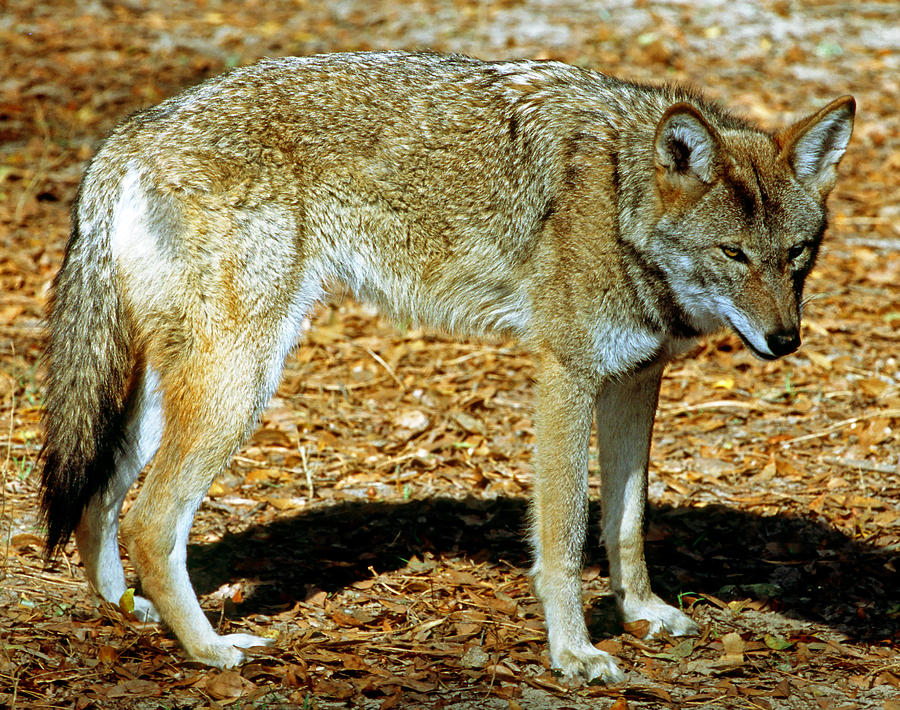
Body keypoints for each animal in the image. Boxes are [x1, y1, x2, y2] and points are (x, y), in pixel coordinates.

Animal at [38, 51, 854, 683]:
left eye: (796, 254)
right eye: (733, 254)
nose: (785, 340)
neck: (618, 197)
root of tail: (131, 132)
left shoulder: (634, 379)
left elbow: (626, 520)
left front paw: (644, 614)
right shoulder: (566, 377)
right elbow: (564, 535)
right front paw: (575, 654)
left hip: (172, 390)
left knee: (99, 499)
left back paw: (130, 614)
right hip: (241, 382)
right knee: (149, 519)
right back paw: (212, 651)